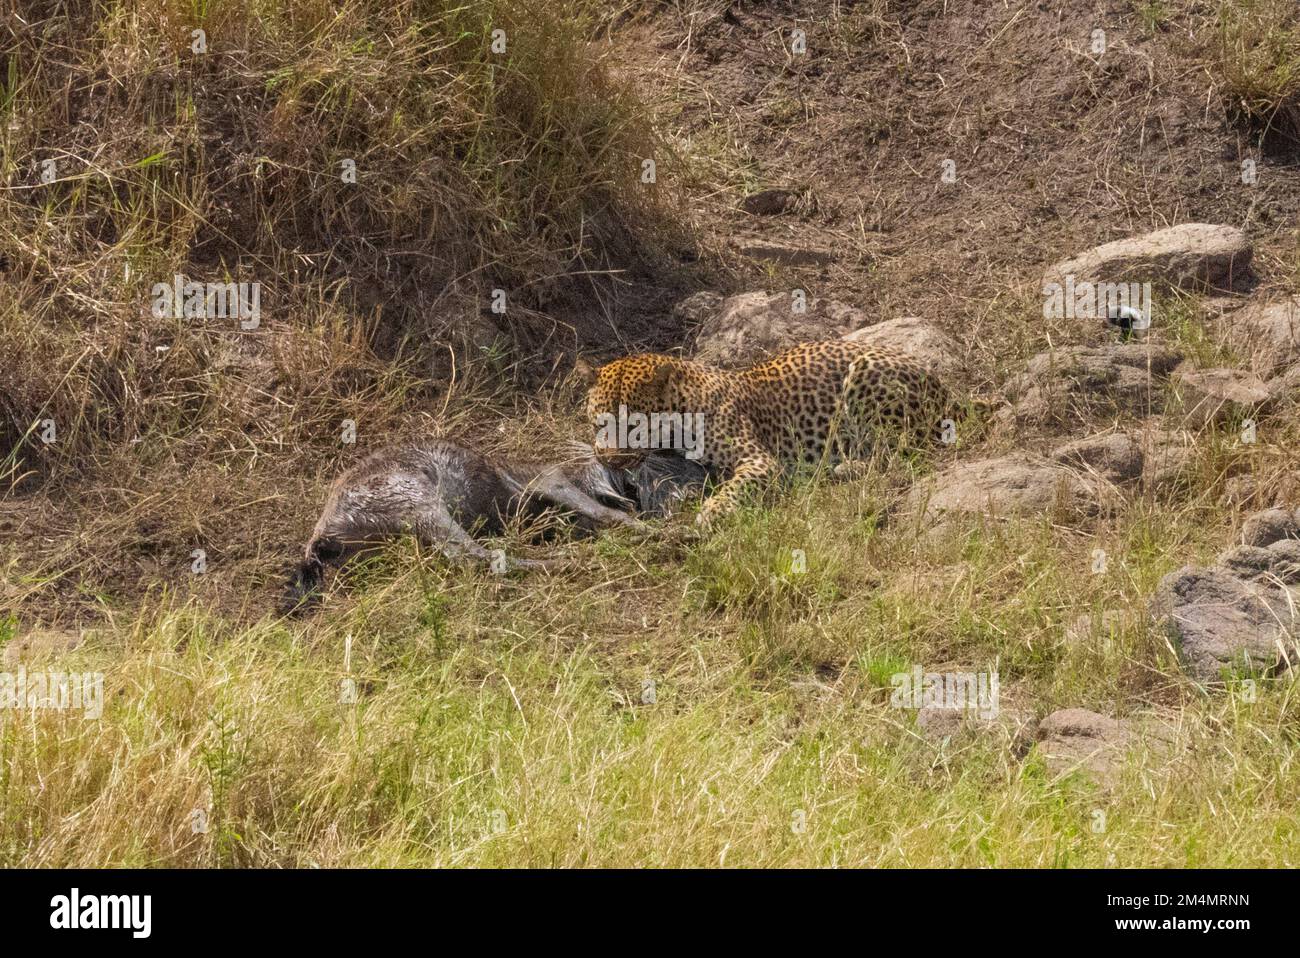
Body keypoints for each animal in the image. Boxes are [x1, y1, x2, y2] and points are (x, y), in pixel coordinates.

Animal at [580, 340, 952, 524]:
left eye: (633, 425)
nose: (610, 462)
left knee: (908, 452)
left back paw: (848, 467)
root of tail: (948, 391)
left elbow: (736, 487)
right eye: (599, 422)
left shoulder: (759, 461)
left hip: (867, 376)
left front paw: (712, 512)